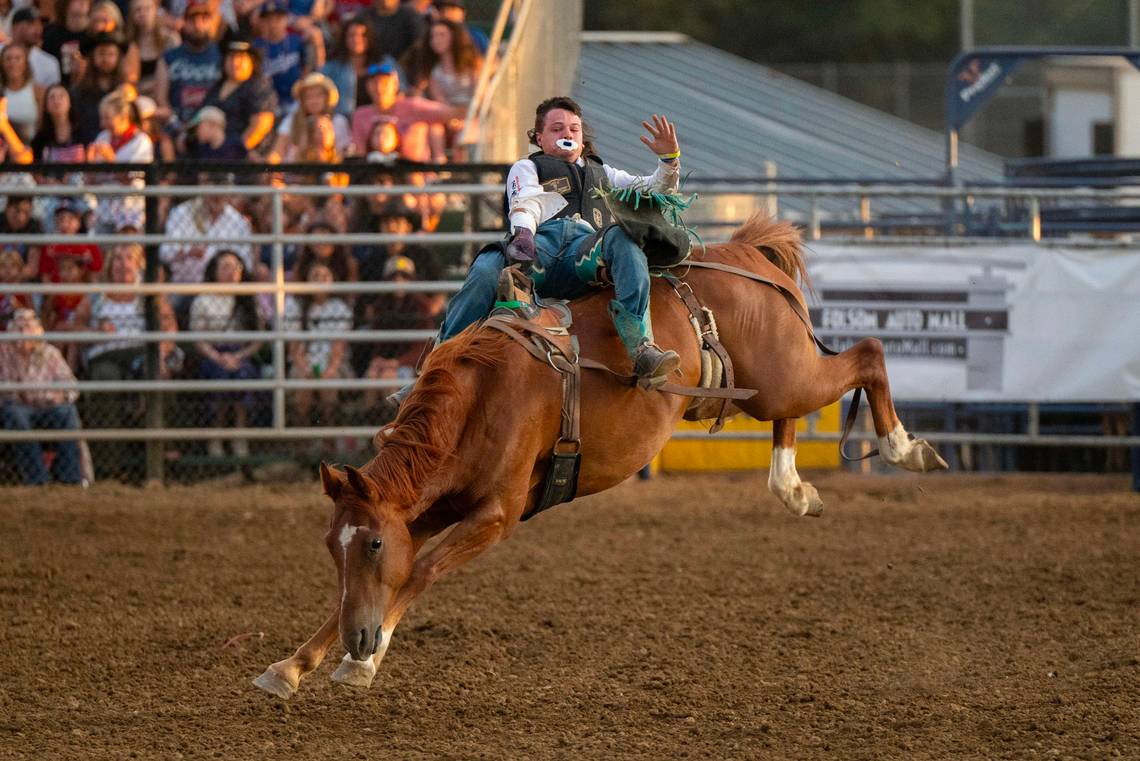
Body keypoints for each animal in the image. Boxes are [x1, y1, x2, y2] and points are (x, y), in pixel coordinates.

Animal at [253, 213, 947, 699]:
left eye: (370, 543)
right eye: (332, 545)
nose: (360, 636)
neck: (481, 397)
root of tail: (749, 251)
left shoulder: (497, 515)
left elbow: (417, 573)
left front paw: (362, 662)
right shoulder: (426, 510)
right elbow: (373, 584)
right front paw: (293, 665)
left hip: (786, 372)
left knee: (867, 354)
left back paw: (904, 448)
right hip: (772, 382)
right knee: (794, 413)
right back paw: (795, 489)